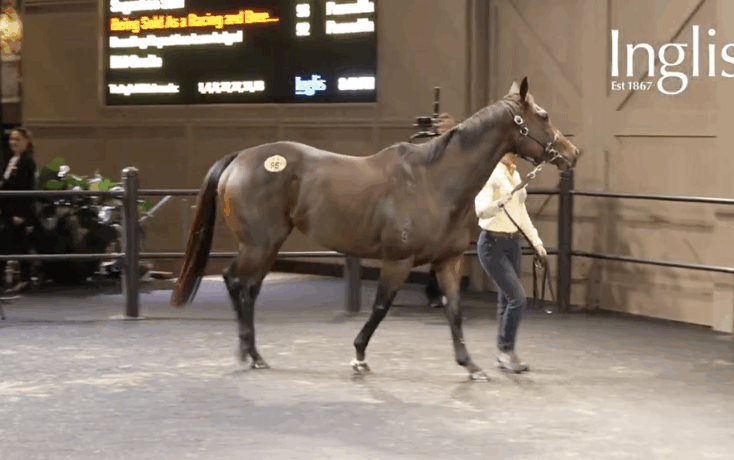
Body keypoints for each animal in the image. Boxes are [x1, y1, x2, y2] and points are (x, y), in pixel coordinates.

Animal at [170, 77, 580, 382]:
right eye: (543, 114)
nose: (572, 153)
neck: (432, 181)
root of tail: (240, 158)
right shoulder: (398, 261)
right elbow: (381, 307)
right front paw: (359, 357)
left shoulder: (447, 262)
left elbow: (454, 310)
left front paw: (471, 365)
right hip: (259, 245)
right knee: (234, 281)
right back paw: (248, 354)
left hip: (267, 247)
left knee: (249, 290)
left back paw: (253, 354)